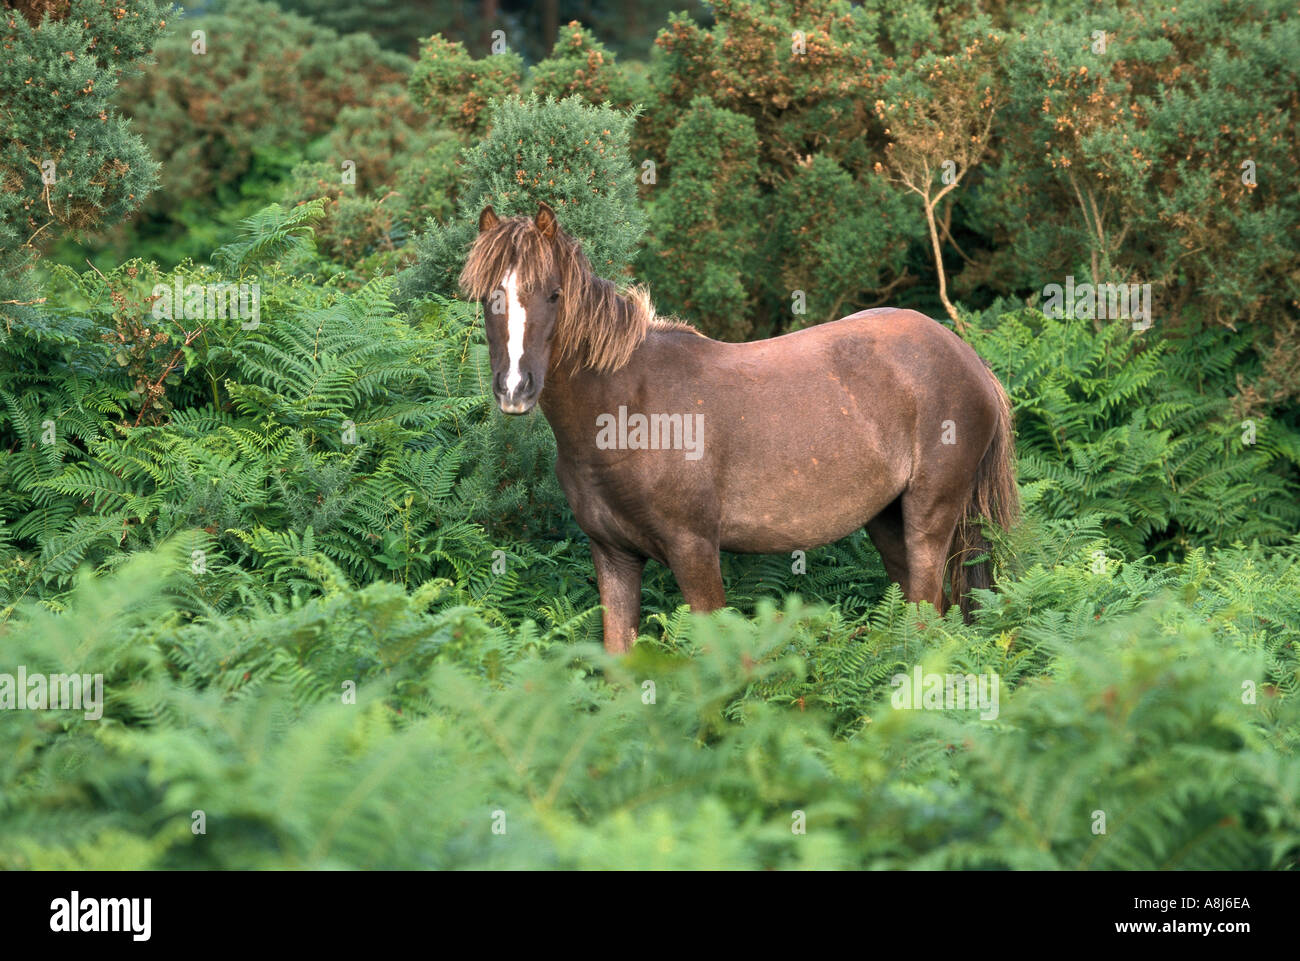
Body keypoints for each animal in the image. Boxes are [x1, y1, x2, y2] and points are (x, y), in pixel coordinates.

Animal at [460, 202, 1019, 653]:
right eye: (490, 297)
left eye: (554, 294)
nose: (515, 388)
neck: (626, 411)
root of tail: (969, 358)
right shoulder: (615, 558)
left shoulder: (694, 551)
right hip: (887, 519)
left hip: (931, 516)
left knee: (928, 618)